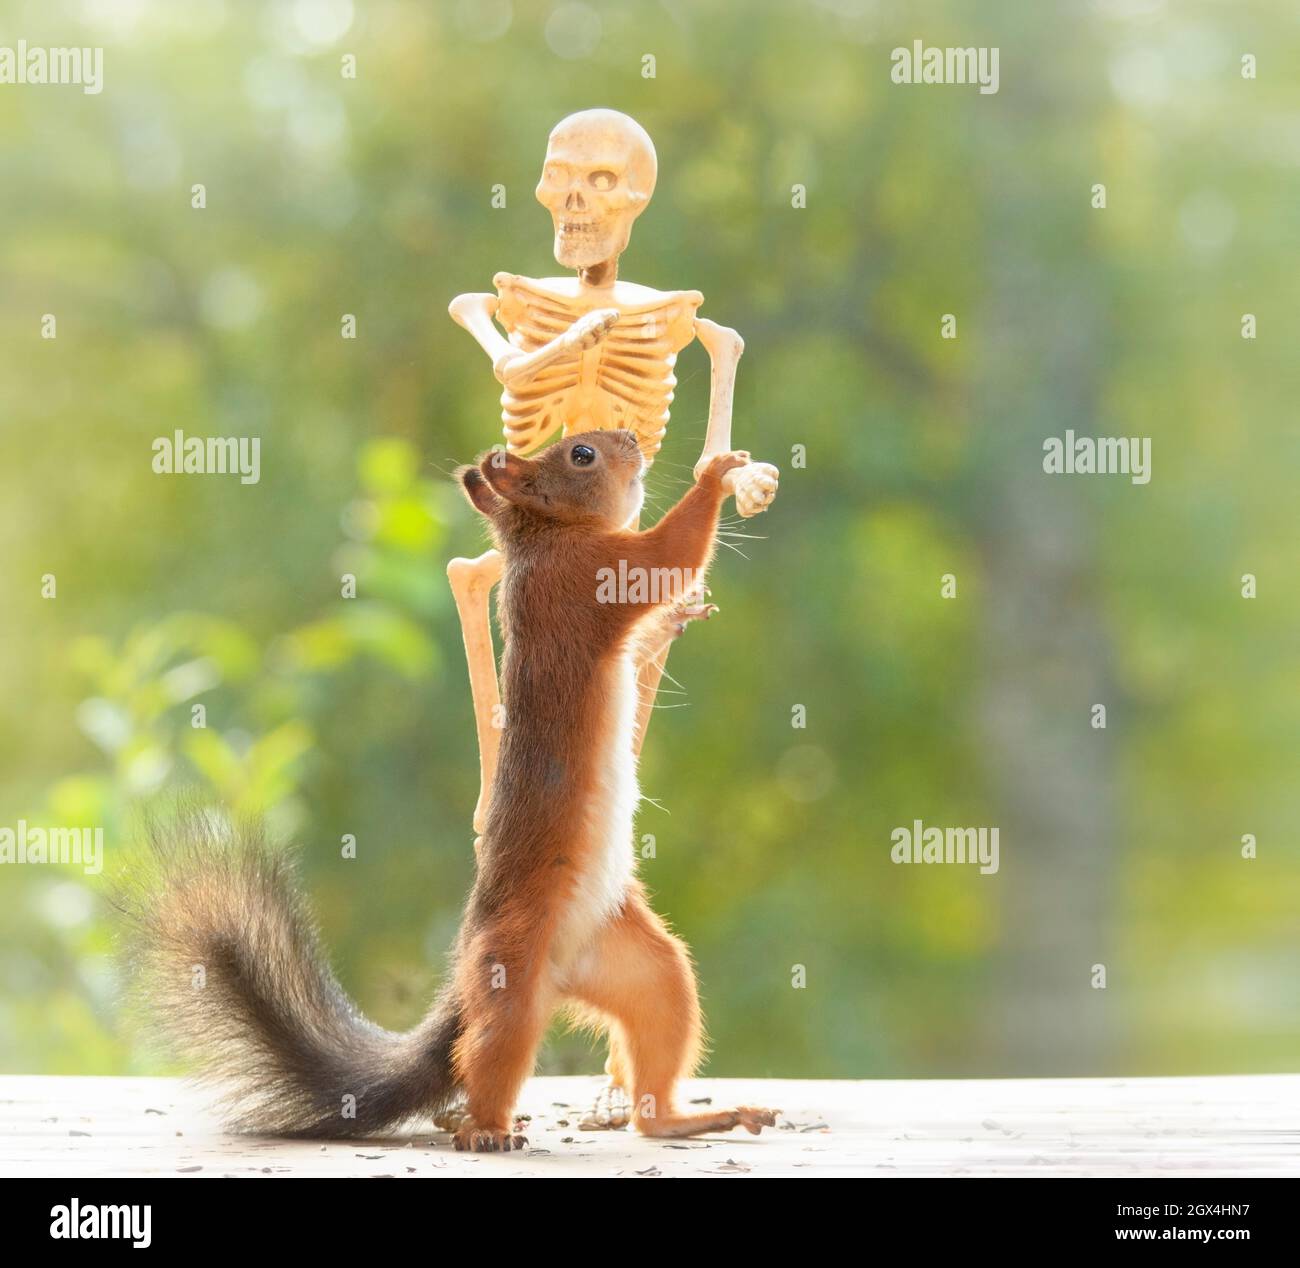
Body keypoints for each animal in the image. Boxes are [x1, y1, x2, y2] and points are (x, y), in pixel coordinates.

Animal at [122, 430, 777, 1150]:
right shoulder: (592, 578)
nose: (631, 439)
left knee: (651, 1077)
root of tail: (555, 973)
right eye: (580, 454)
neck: (544, 536)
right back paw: (484, 1128)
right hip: (511, 970)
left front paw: (682, 616)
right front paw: (716, 476)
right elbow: (669, 556)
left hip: (643, 968)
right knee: (487, 1051)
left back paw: (695, 1117)